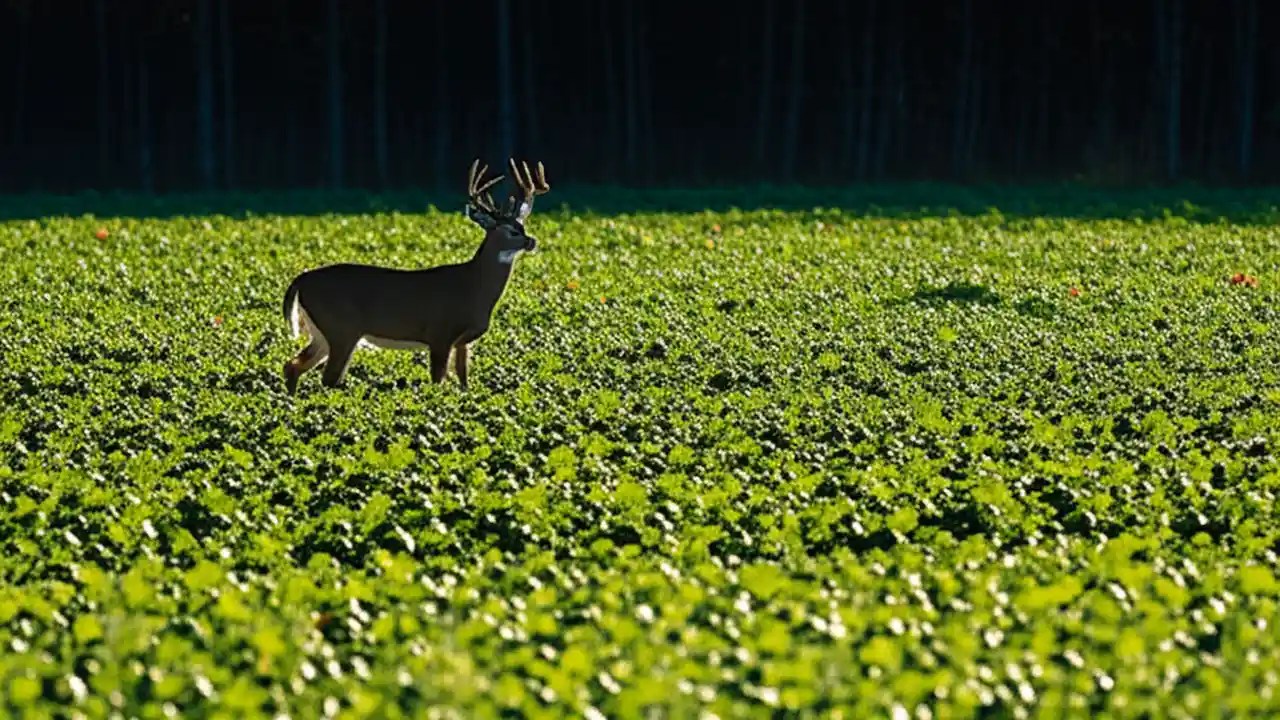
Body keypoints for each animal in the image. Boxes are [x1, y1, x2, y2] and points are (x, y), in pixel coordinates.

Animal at [280, 158, 550, 394]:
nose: (531, 241)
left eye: (523, 226)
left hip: (322, 332)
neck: (474, 287)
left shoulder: (463, 340)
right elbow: (438, 380)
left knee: (292, 366)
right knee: (327, 378)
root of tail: (300, 280)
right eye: (511, 231)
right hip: (341, 329)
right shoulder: (440, 333)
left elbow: (464, 380)